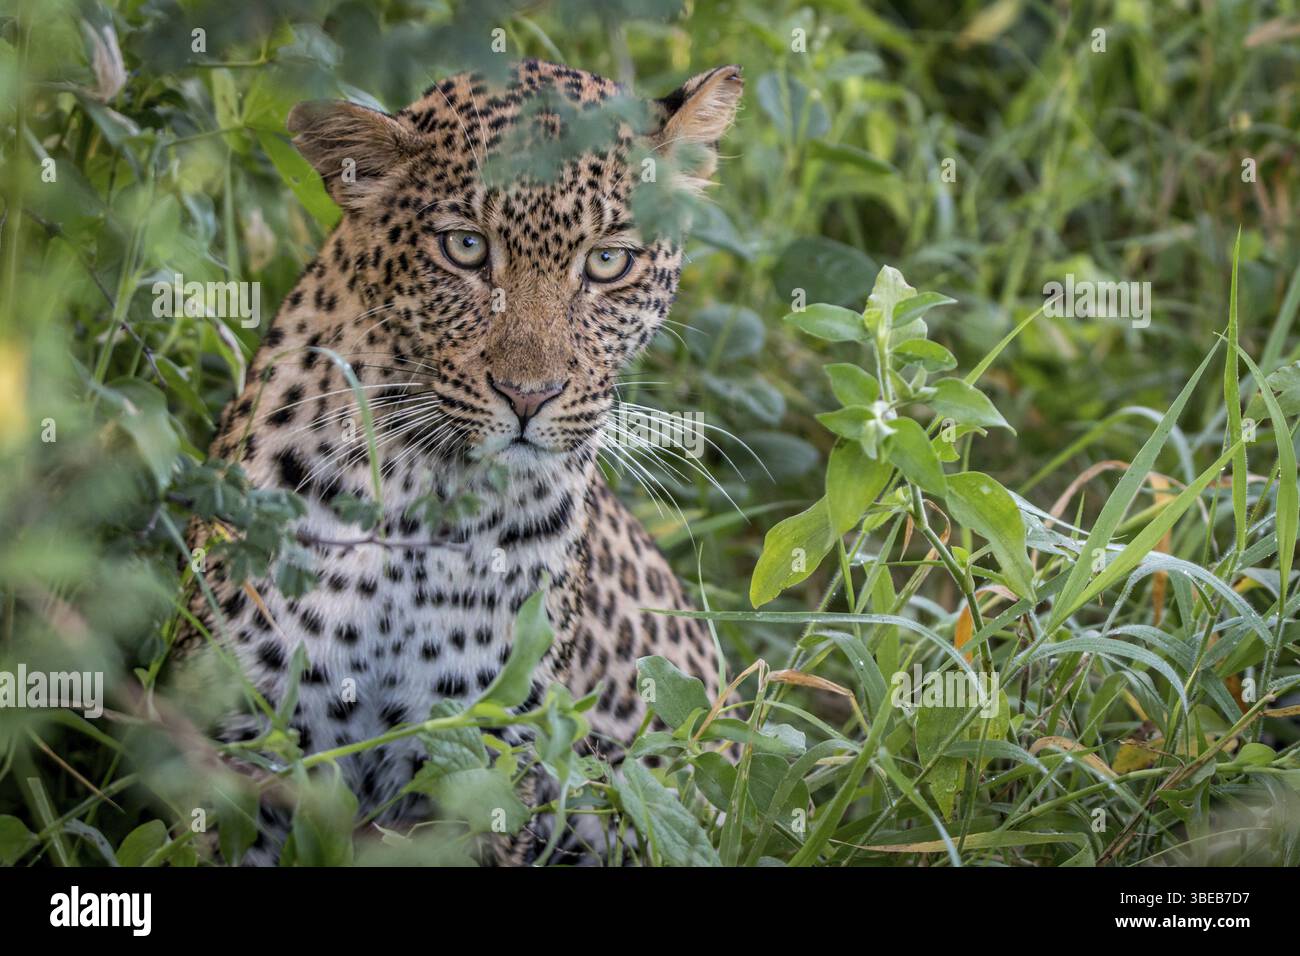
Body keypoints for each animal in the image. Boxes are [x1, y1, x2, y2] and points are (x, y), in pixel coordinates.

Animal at [175, 58, 744, 864]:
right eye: (466, 249)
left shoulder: (481, 765)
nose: (529, 395)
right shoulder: (240, 742)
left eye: (609, 261)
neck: (427, 498)